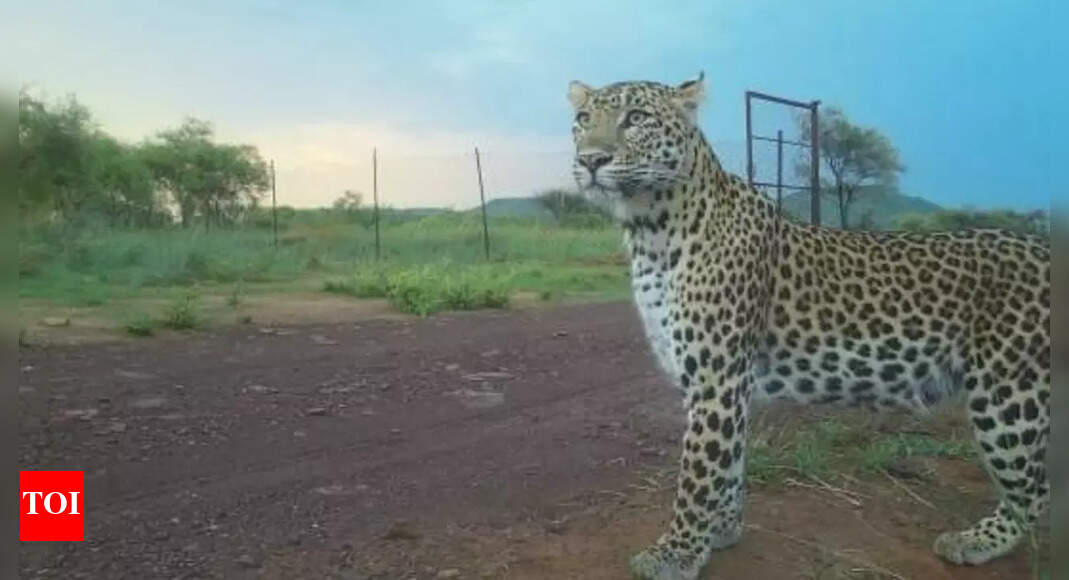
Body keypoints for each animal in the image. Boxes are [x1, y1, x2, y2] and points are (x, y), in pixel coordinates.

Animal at [566, 74, 1051, 580]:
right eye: (582, 120)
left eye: (636, 118)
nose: (590, 159)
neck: (650, 230)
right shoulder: (723, 383)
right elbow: (729, 461)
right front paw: (721, 530)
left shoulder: (717, 380)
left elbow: (698, 473)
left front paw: (676, 552)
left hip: (1007, 394)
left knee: (1034, 489)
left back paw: (978, 540)